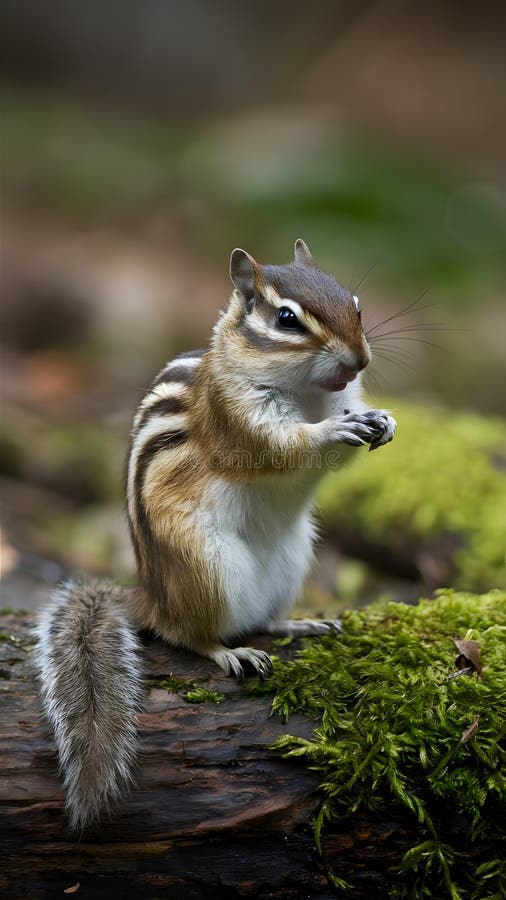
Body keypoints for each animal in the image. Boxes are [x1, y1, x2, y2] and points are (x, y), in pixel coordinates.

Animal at [35, 239, 396, 833]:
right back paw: (228, 653)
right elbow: (281, 448)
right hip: (207, 565)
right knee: (188, 634)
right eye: (287, 319)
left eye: (357, 305)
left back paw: (294, 624)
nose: (360, 361)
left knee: (260, 618)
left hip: (293, 557)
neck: (307, 392)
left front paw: (381, 420)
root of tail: (150, 596)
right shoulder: (237, 417)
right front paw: (330, 430)